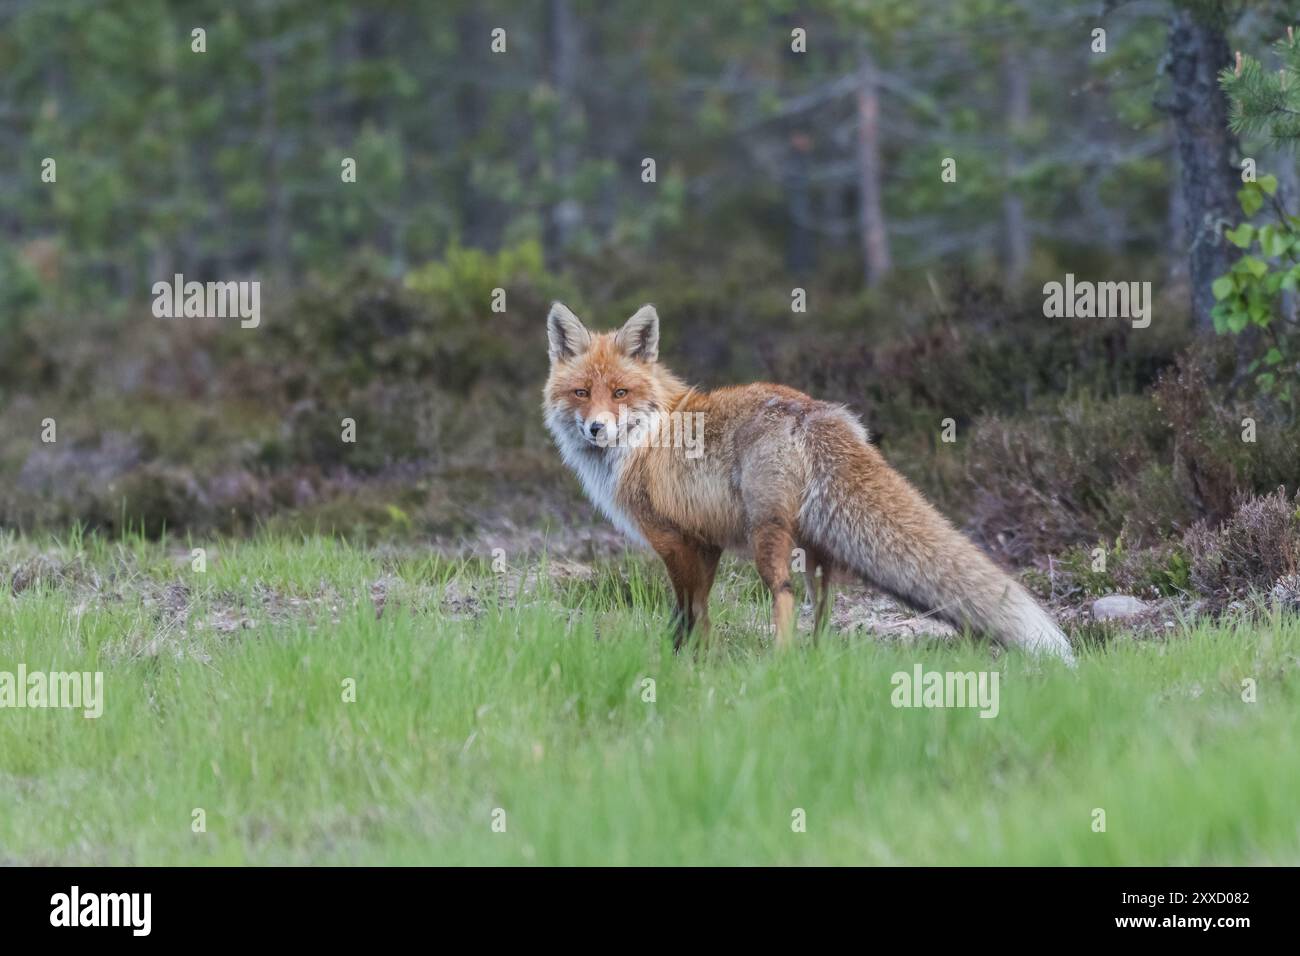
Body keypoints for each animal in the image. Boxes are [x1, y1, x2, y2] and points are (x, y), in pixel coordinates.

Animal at [542, 301, 1074, 662]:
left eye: (620, 392)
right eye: (582, 392)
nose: (596, 428)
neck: (646, 438)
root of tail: (815, 413)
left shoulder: (674, 540)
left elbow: (687, 611)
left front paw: (684, 664)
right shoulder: (705, 542)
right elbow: (702, 614)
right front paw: (700, 661)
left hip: (768, 534)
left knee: (785, 594)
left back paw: (781, 664)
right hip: (819, 542)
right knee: (823, 602)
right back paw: (817, 661)